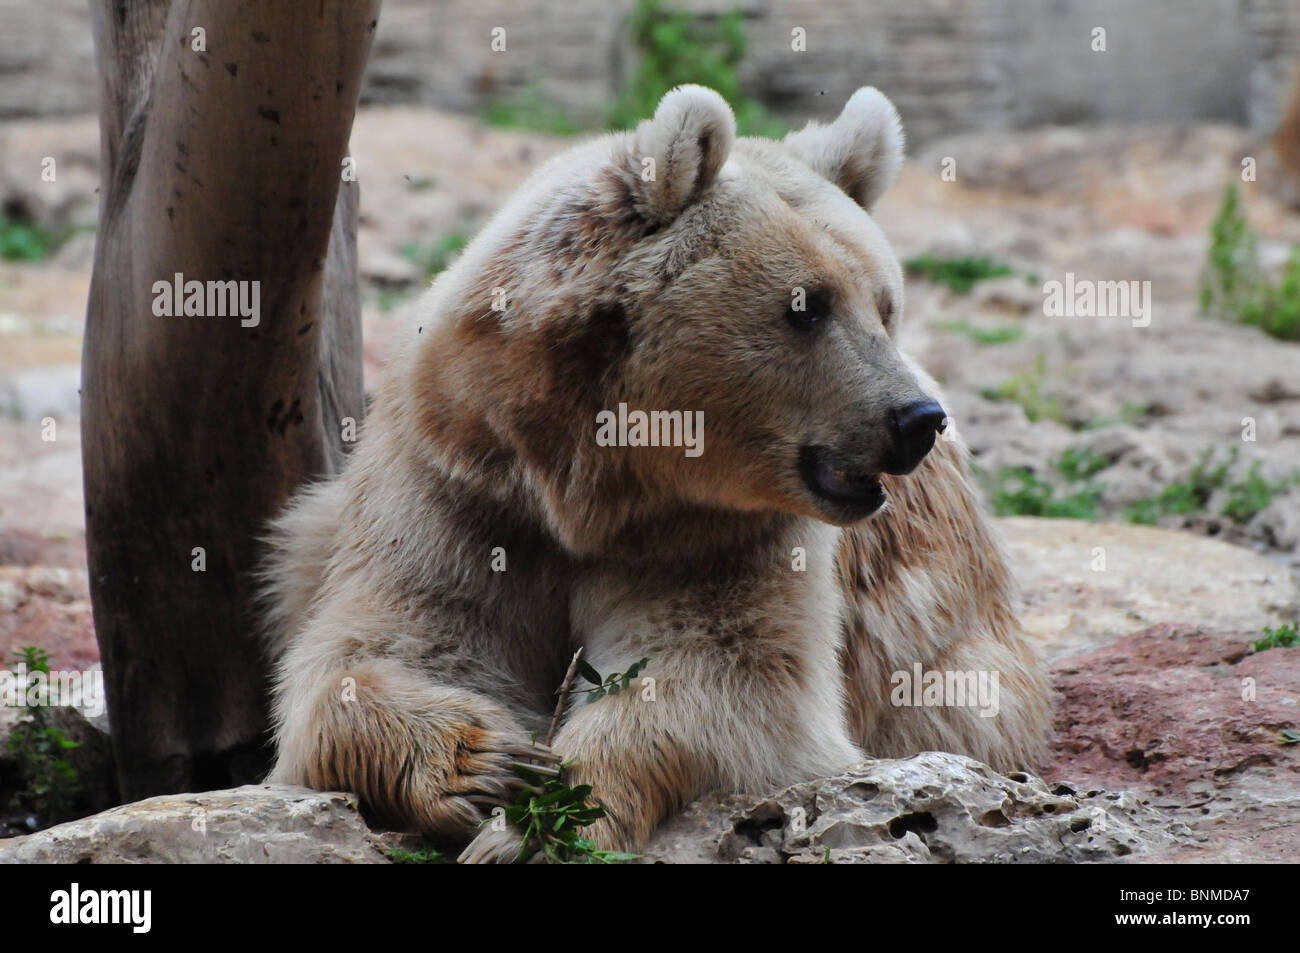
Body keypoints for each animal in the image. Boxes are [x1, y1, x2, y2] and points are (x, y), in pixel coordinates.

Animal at [260, 85, 1052, 862]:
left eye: (886, 306)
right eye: (808, 306)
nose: (916, 419)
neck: (589, 479)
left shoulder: (719, 532)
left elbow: (727, 676)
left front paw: (543, 822)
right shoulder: (459, 481)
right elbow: (390, 645)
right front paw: (488, 764)